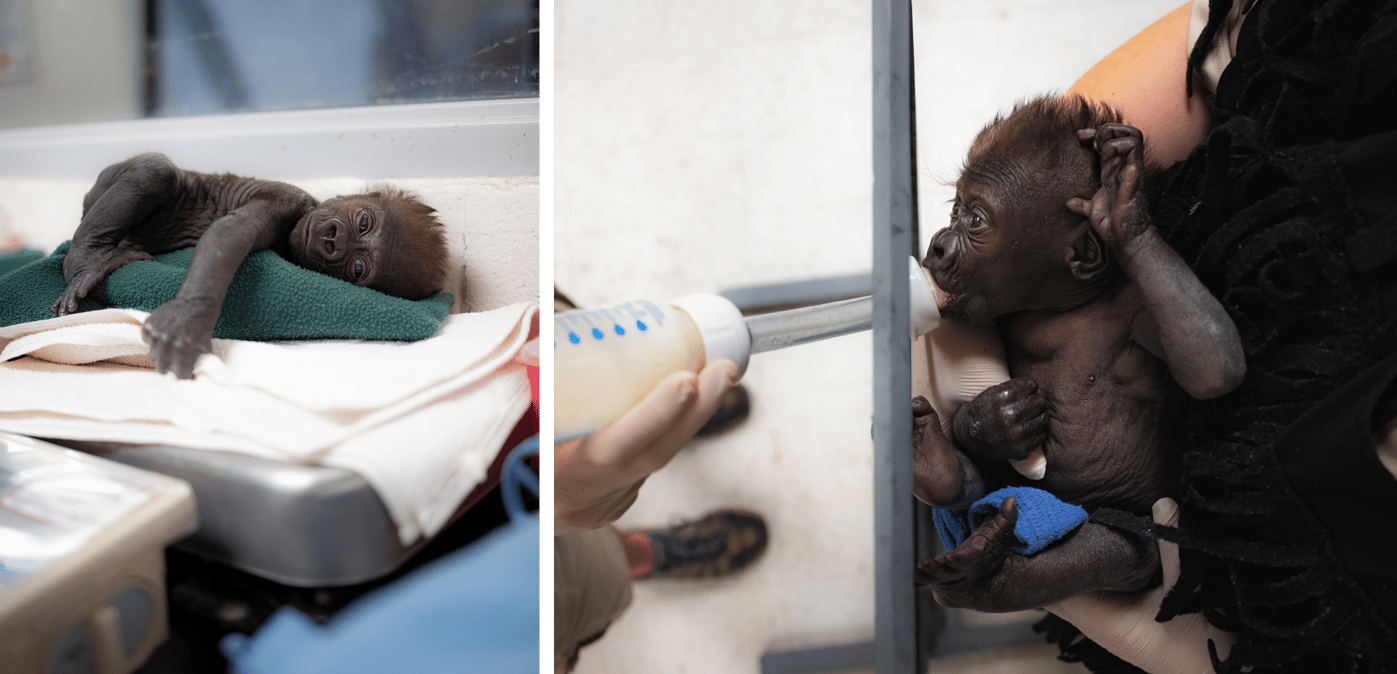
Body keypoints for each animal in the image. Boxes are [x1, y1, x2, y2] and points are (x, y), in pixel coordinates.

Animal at [51, 153, 450, 380]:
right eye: (364, 222)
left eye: (357, 270)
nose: (334, 240)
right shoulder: (287, 199)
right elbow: (229, 231)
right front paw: (189, 318)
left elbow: (228, 234)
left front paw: (189, 317)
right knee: (156, 170)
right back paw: (87, 257)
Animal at [910, 95, 1246, 612]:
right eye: (954, 209)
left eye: (975, 220)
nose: (938, 245)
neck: (1060, 306)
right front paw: (994, 420)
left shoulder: (1139, 308)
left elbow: (1213, 365)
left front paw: (1124, 205)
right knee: (981, 488)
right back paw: (936, 466)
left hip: (1127, 522)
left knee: (1115, 554)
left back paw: (982, 577)